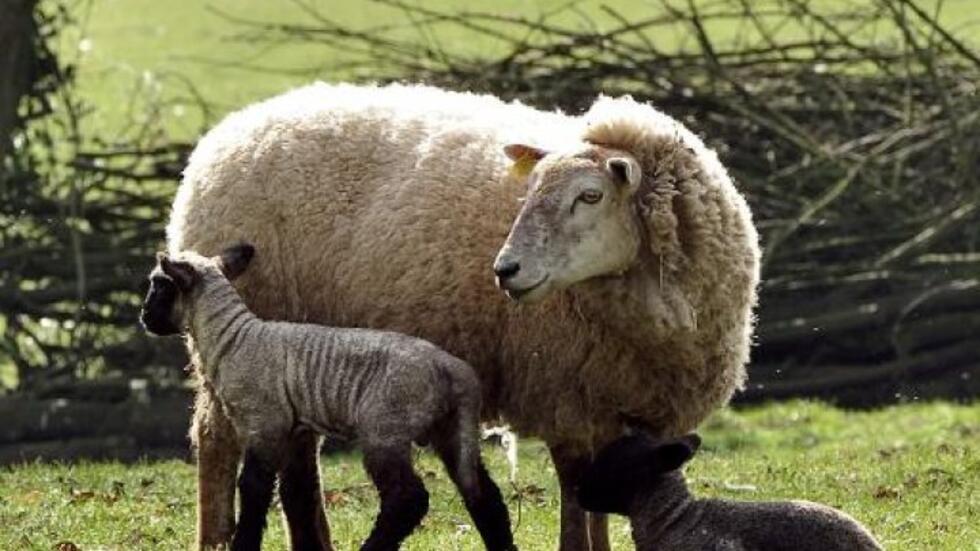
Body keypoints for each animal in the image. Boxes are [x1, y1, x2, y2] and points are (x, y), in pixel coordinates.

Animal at [140, 244, 516, 551]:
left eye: (159, 285)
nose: (144, 317)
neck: (232, 337)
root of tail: (454, 369)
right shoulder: (293, 429)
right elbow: (294, 490)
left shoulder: (263, 422)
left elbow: (253, 488)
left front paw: (243, 546)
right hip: (450, 430)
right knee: (482, 493)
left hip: (385, 429)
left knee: (407, 499)